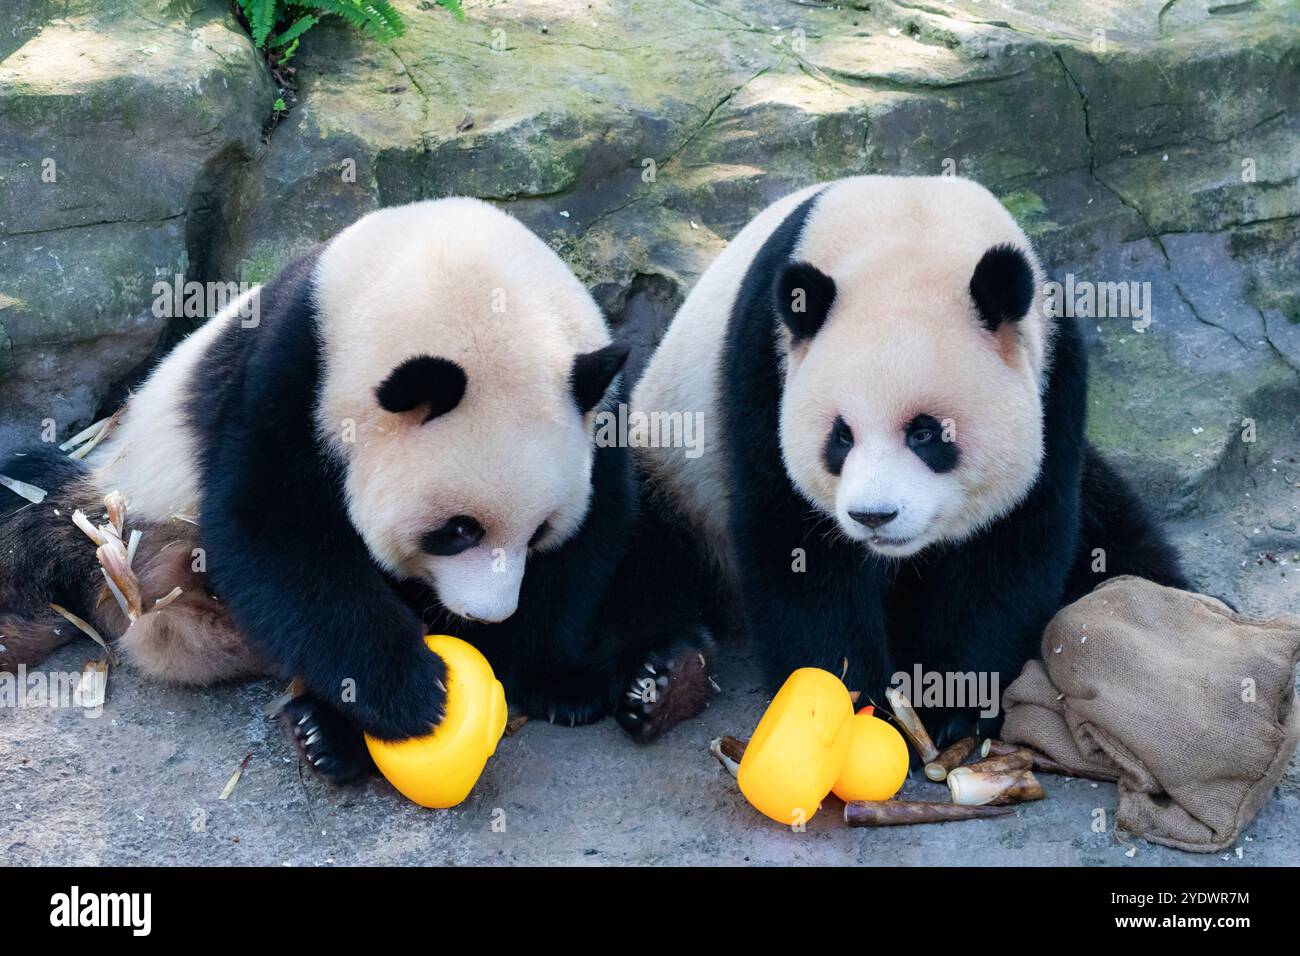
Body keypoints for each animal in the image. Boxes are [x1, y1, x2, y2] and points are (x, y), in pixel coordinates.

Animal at [0, 198, 714, 783]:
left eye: (537, 531)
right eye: (458, 530)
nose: (486, 618)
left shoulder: (598, 409)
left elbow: (595, 536)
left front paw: (556, 680)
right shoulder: (296, 373)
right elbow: (279, 533)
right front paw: (415, 694)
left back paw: (664, 681)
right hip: (140, 528)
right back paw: (327, 737)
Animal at [631, 175, 1187, 745]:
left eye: (925, 433)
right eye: (841, 437)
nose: (873, 516)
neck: (909, 224)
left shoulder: (1054, 375)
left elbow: (1013, 541)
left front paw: (954, 706)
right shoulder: (766, 367)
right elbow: (798, 546)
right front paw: (856, 713)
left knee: (1110, 519)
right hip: (669, 456)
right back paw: (664, 682)